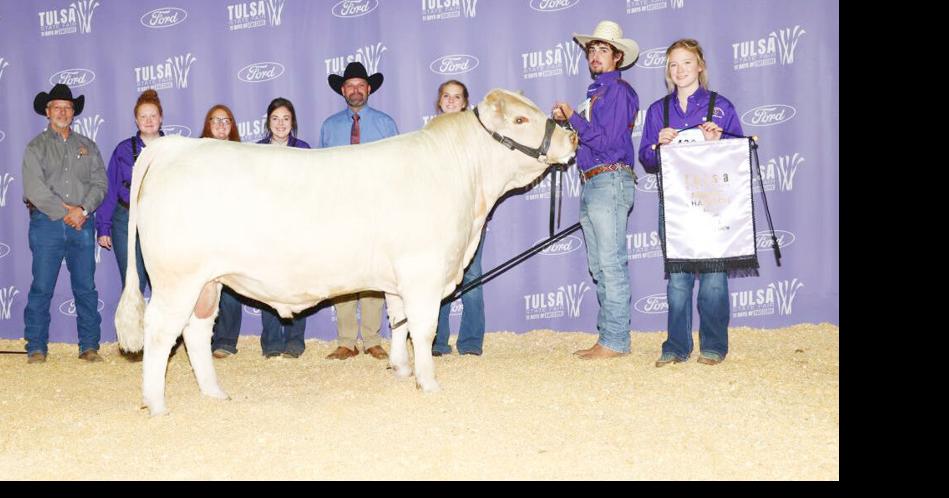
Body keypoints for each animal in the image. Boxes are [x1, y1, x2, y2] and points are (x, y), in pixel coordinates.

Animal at [115, 89, 578, 416]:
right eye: (520, 118)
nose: (572, 135)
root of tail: (173, 147)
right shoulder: (424, 271)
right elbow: (424, 328)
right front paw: (427, 382)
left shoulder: (399, 276)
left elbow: (399, 321)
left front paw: (400, 368)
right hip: (177, 277)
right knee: (161, 332)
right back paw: (157, 404)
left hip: (207, 281)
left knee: (195, 331)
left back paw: (214, 393)